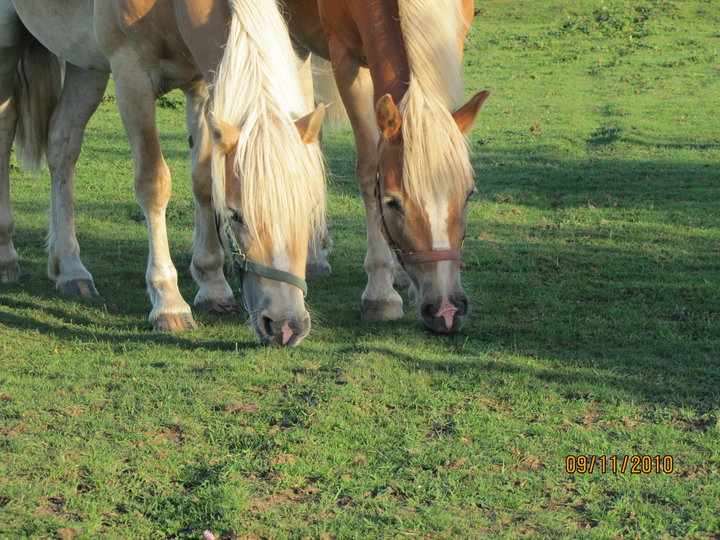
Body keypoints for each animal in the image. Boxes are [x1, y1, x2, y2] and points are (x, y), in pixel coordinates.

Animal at [0, 0, 327, 346]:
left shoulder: (201, 87)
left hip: (86, 65)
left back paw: (70, 270)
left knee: (63, 143)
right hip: (9, 44)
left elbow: (204, 183)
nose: (285, 326)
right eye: (236, 216)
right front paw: (169, 303)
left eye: (308, 211)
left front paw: (213, 288)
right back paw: (6, 256)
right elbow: (153, 184)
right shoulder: (132, 76)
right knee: (6, 127)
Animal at [283, 0, 488, 333]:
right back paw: (313, 256)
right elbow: (368, 171)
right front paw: (380, 295)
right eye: (392, 202)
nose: (447, 310)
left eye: (469, 195)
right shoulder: (347, 60)